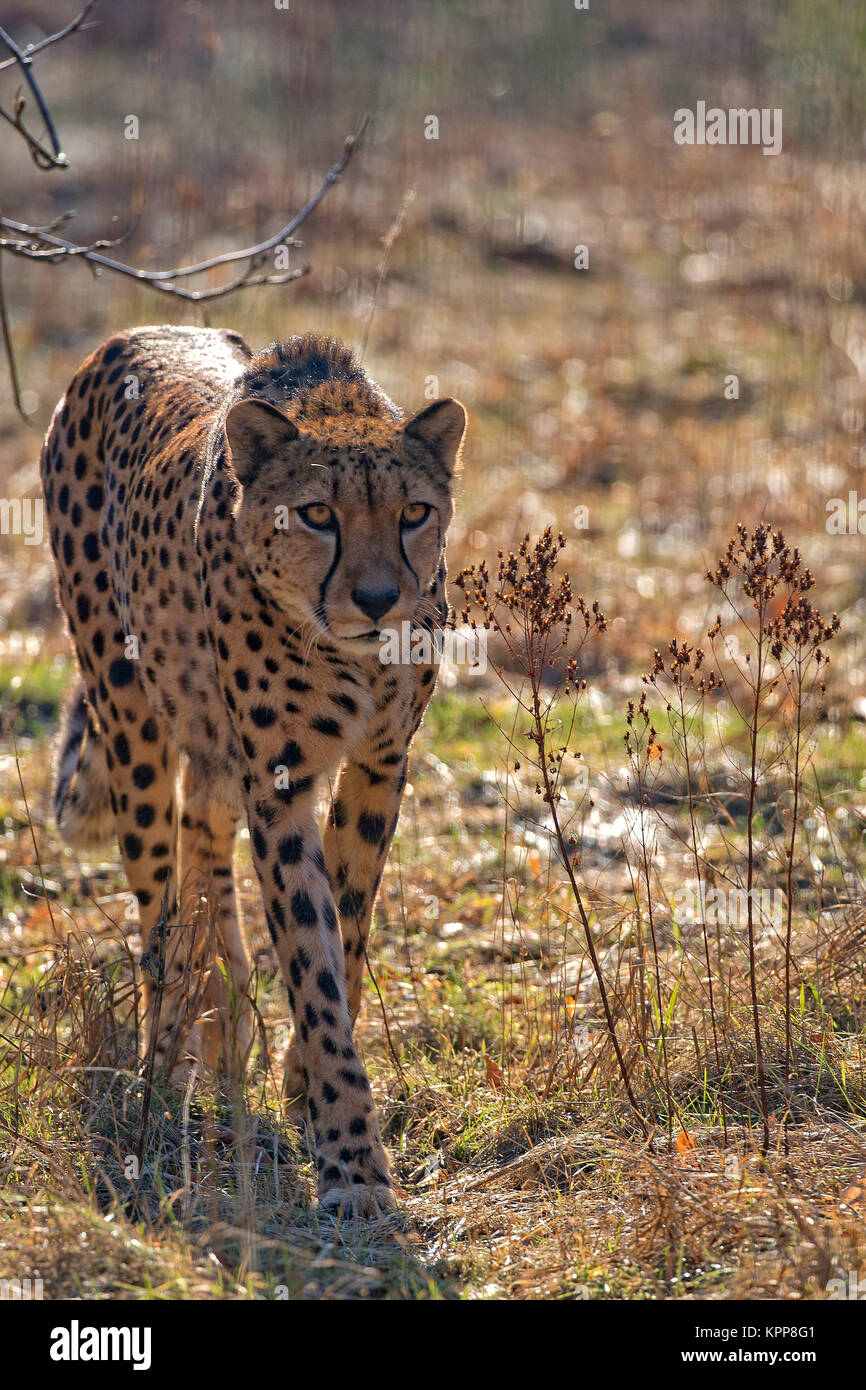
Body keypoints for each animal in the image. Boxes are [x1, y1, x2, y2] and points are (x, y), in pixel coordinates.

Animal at [39, 324, 466, 1213]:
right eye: (317, 515)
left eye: (414, 513)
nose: (378, 599)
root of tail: (130, 337)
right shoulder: (279, 781)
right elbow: (310, 953)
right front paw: (351, 1162)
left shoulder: (381, 762)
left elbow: (347, 928)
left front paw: (304, 1087)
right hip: (129, 717)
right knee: (161, 910)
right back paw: (166, 1066)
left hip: (208, 747)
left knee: (203, 844)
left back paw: (228, 1026)